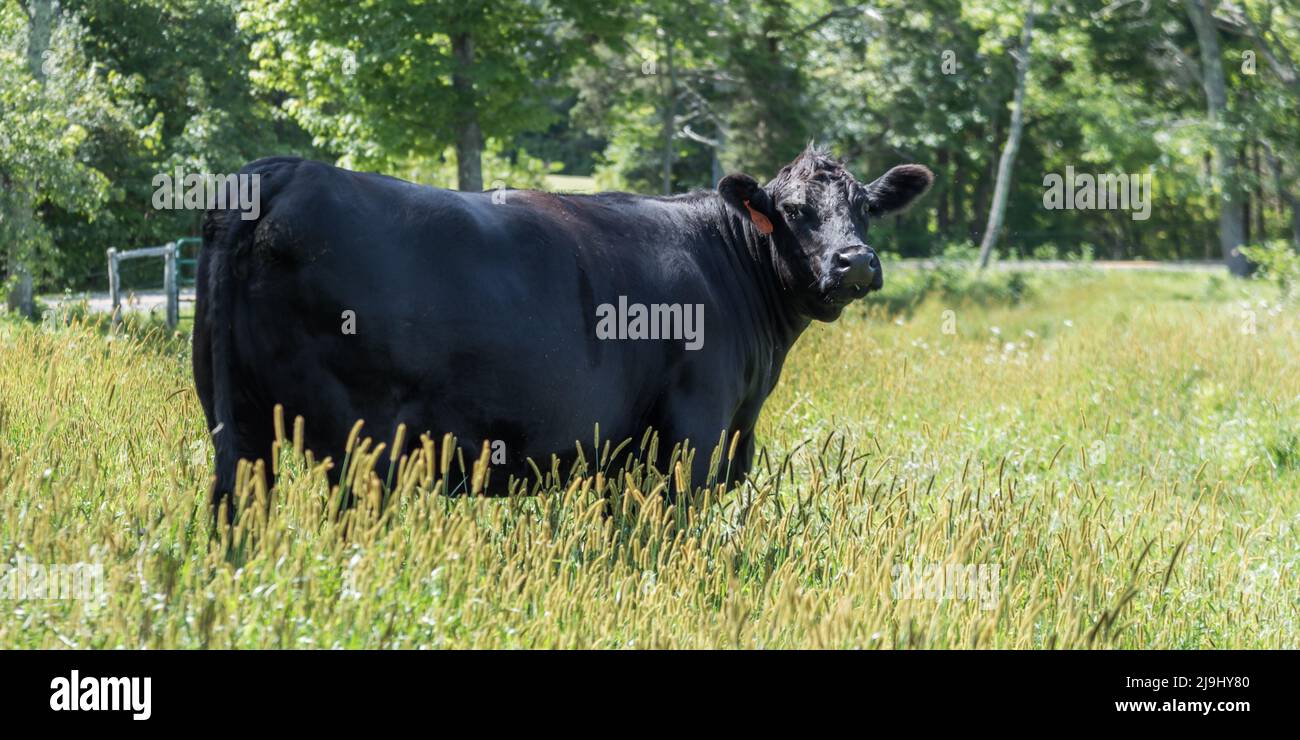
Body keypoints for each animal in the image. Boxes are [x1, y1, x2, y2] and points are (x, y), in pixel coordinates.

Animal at [192, 146, 930, 509]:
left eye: (866, 208)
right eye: (795, 210)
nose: (856, 262)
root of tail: (284, 172)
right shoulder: (695, 428)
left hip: (238, 420)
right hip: (360, 438)